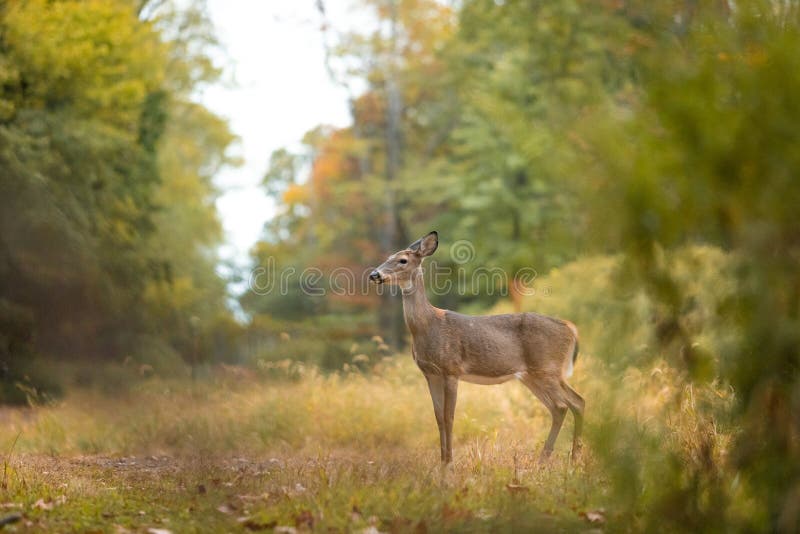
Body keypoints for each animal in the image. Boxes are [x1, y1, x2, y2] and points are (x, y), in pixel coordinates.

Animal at [369, 231, 584, 466]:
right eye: (389, 256)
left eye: (402, 260)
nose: (374, 274)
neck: (427, 326)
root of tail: (571, 329)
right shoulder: (430, 373)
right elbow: (438, 417)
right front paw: (442, 461)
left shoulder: (451, 369)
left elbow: (449, 416)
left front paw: (449, 463)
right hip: (532, 375)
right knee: (564, 406)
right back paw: (554, 459)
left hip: (547, 368)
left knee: (570, 403)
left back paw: (566, 458)